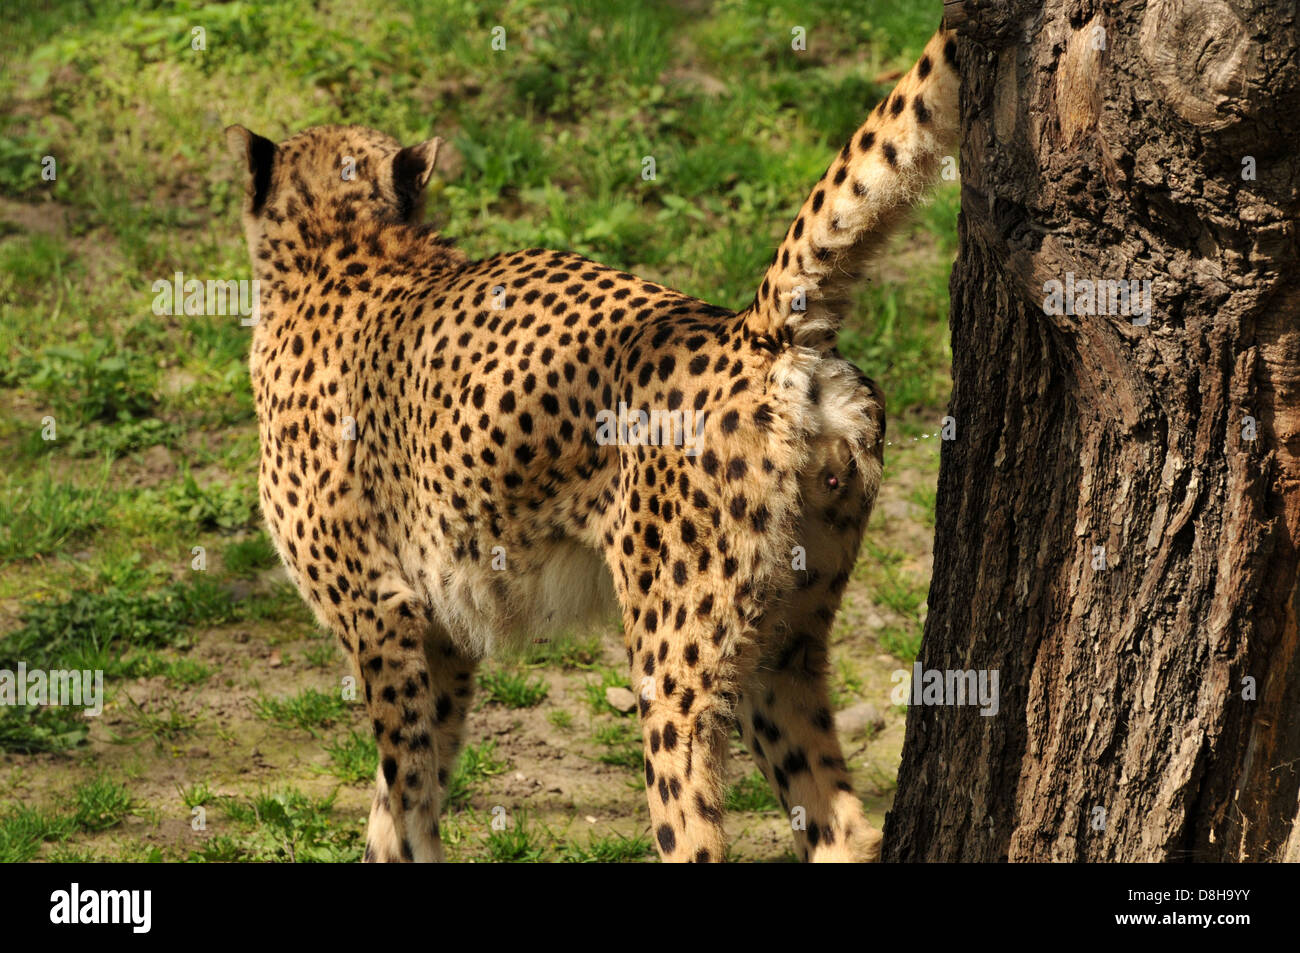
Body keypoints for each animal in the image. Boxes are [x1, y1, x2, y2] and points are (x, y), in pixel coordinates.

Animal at [226, 23, 959, 863]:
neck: (347, 244)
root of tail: (751, 330)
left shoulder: (384, 613)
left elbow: (404, 794)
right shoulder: (441, 639)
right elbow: (409, 794)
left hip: (675, 665)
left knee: (693, 827)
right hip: (786, 639)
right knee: (842, 821)